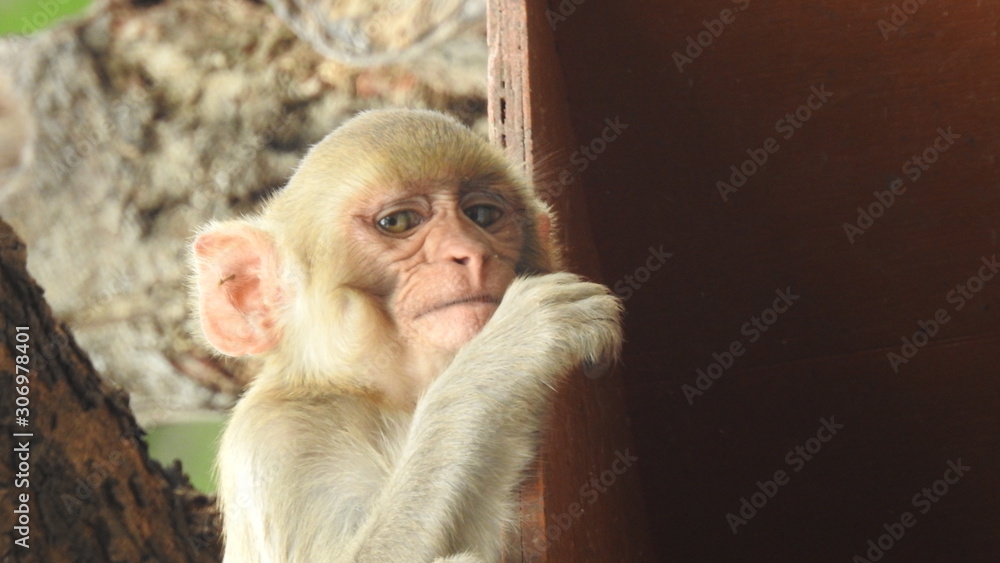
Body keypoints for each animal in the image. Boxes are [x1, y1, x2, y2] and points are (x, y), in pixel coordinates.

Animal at [191, 109, 623, 562]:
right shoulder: (278, 441)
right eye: (397, 222)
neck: (386, 399)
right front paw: (497, 362)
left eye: (482, 215)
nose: (470, 252)